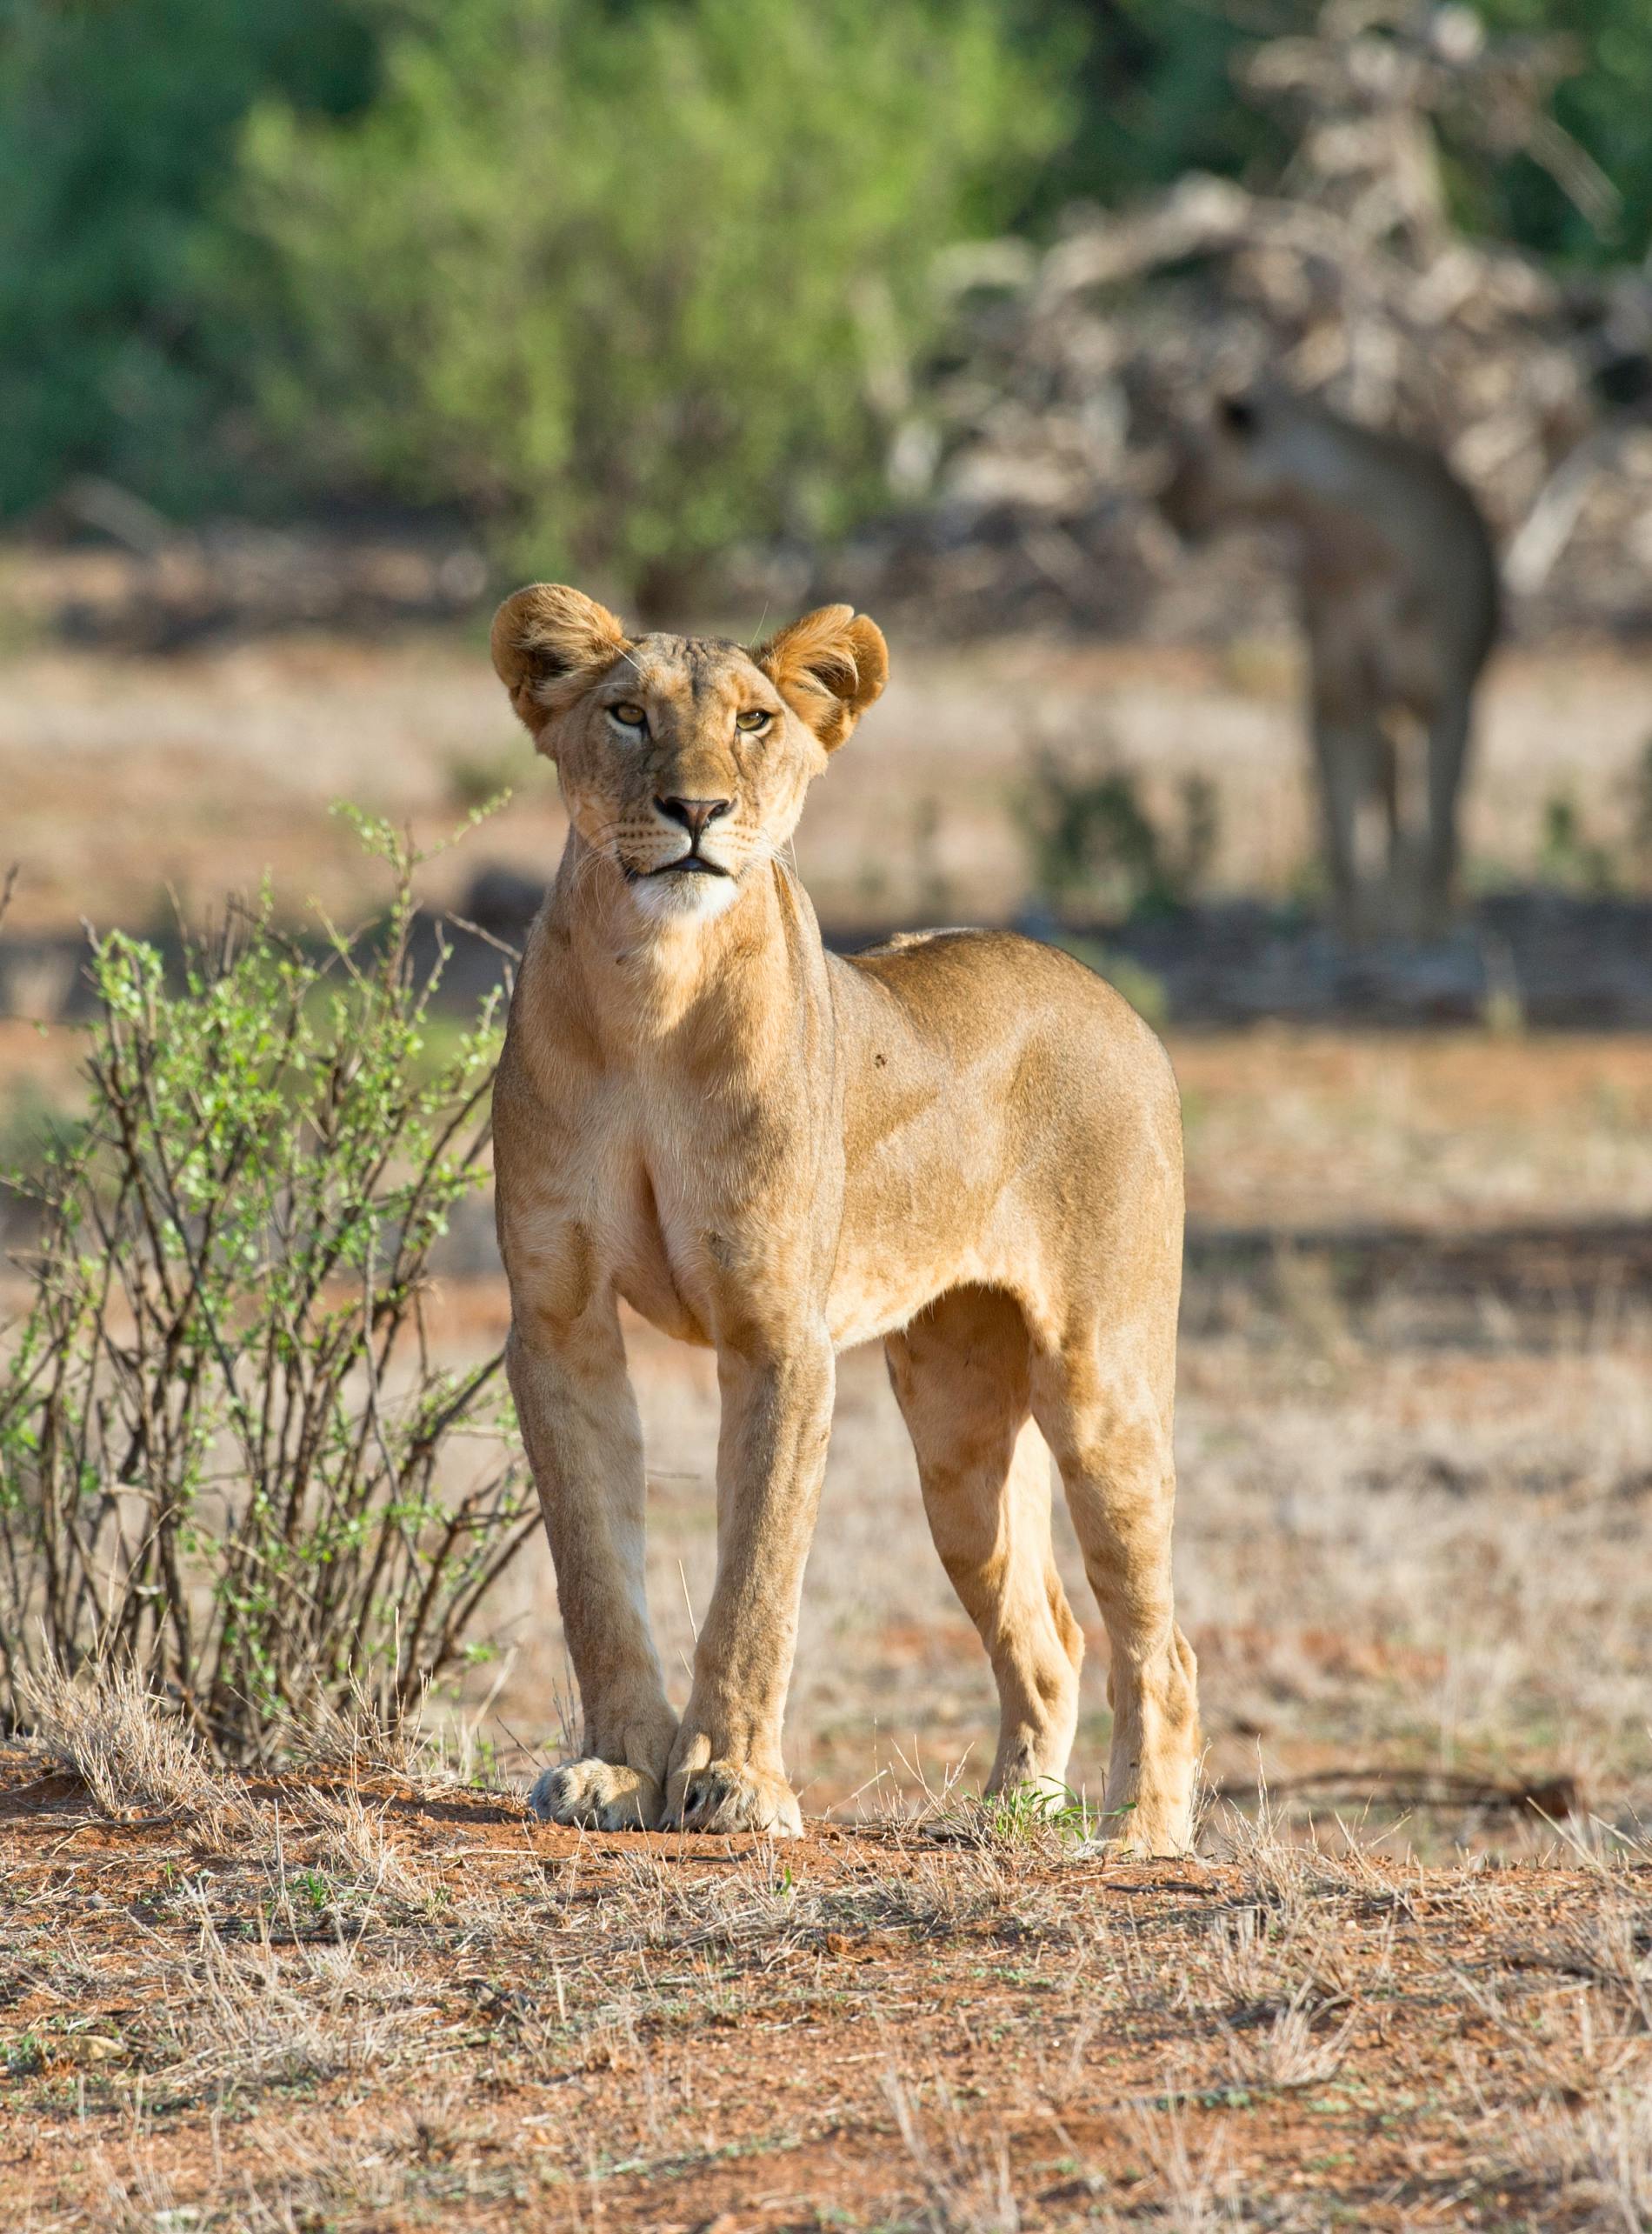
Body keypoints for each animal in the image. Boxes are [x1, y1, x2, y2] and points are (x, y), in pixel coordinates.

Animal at [489, 584, 1199, 1852]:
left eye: (755, 720)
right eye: (627, 714)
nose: (696, 809)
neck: (652, 984)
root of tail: (1110, 997)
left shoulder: (780, 1332)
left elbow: (758, 1574)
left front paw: (732, 1783)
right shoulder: (558, 1322)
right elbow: (593, 1566)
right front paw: (616, 1770)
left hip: (1100, 1383)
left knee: (1161, 1644)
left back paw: (1139, 1833)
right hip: (958, 1431)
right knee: (1051, 1634)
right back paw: (1016, 1813)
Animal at [1161, 383, 1499, 936]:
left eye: (1189, 457)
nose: (1159, 503)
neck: (1351, 542)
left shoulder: (1444, 698)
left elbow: (1440, 811)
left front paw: (1429, 920)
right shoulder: (1337, 694)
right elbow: (1339, 821)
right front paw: (1353, 924)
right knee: (1385, 781)